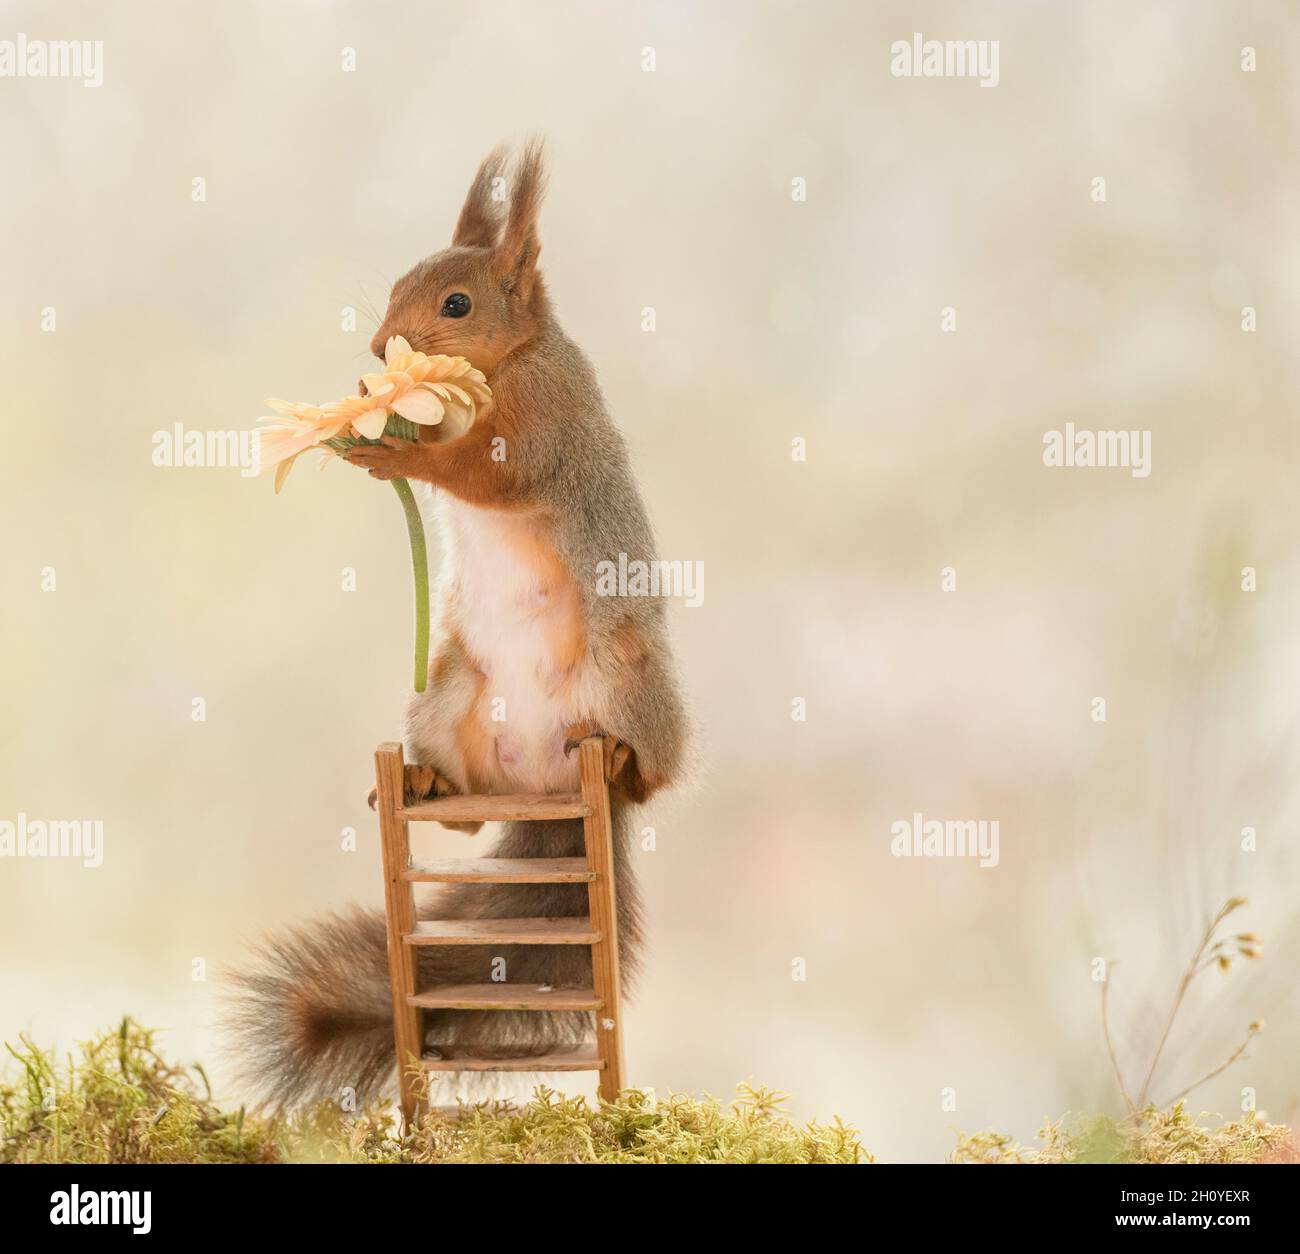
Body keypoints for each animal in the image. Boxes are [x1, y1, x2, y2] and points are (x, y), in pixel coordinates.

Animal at [228, 142, 687, 1106]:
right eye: (399, 283)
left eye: (457, 304)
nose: (377, 353)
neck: (514, 360)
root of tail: (551, 779)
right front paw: (369, 410)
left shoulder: (541, 426)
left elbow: (485, 473)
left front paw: (387, 444)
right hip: (450, 692)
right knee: (466, 827)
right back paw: (430, 785)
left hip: (626, 673)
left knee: (650, 775)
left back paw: (625, 761)